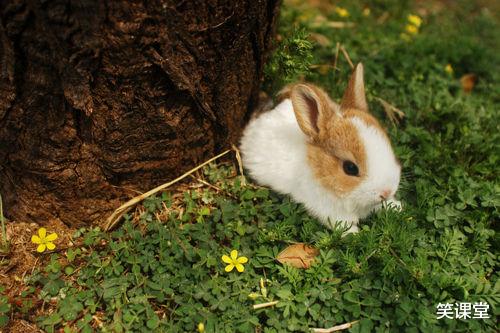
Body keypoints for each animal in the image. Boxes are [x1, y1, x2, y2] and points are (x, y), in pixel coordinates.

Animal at [240, 63, 400, 233]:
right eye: (350, 168)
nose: (387, 191)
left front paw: (396, 206)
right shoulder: (329, 211)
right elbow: (343, 224)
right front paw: (353, 234)